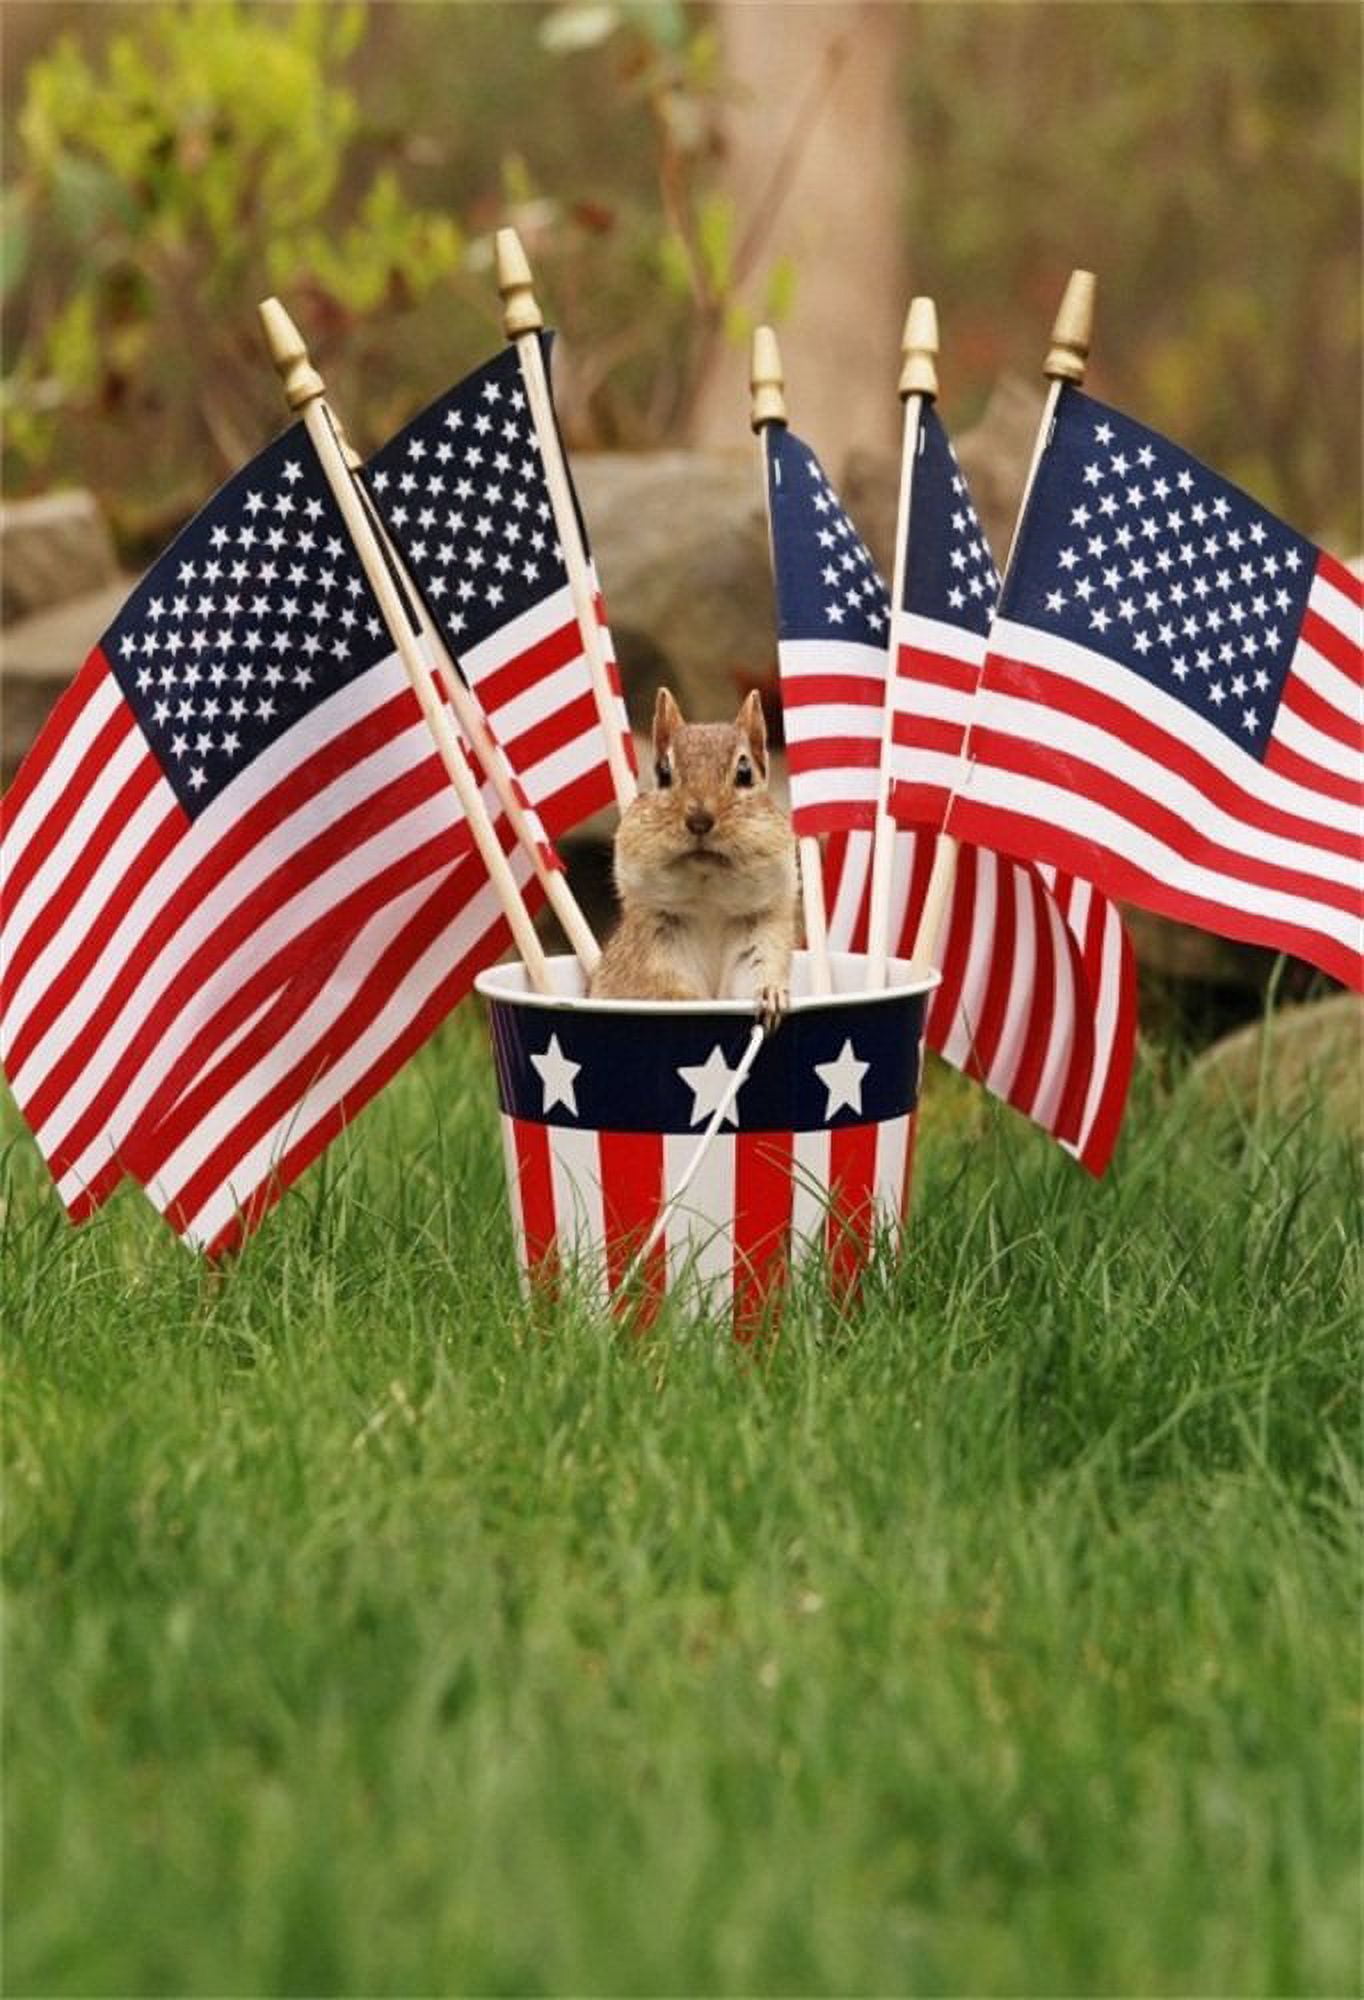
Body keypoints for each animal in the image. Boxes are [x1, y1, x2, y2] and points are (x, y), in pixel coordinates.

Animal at [589, 687, 797, 1030]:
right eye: (662, 772)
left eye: (745, 773)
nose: (699, 820)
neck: (708, 905)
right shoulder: (653, 950)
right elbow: (666, 992)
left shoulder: (764, 933)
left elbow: (759, 974)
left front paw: (772, 996)